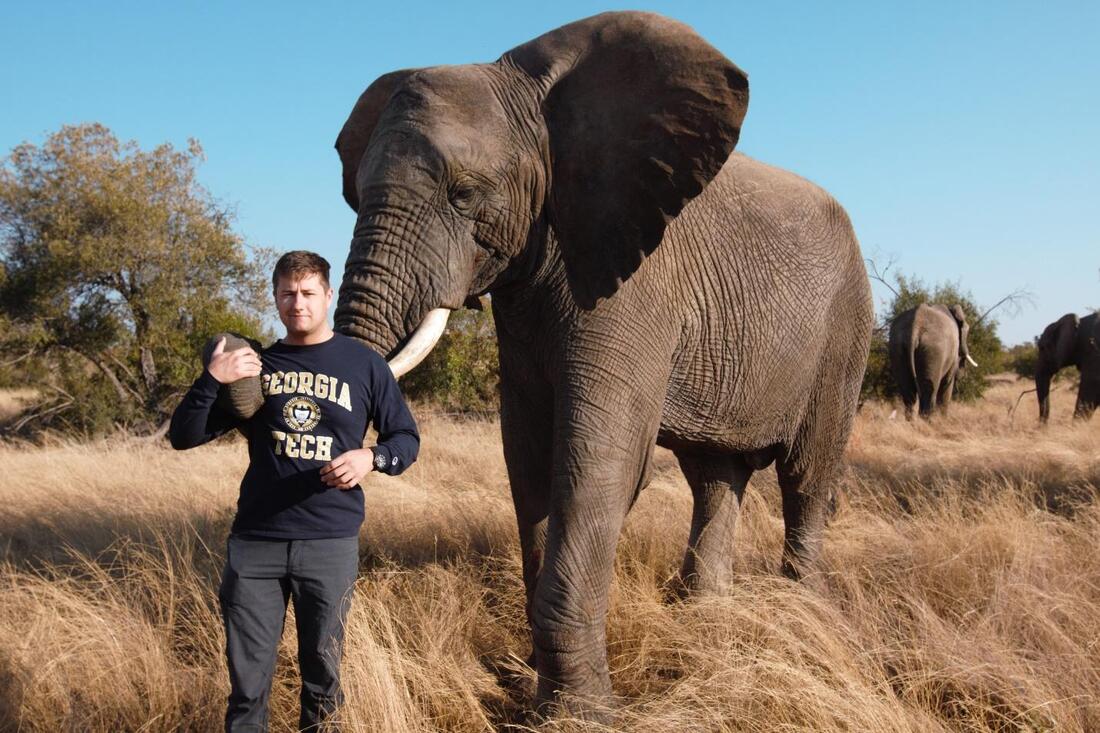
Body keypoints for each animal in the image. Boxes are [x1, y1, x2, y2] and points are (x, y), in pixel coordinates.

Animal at [220, 11, 874, 717]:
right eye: (355, 195)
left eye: (464, 196)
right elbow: (528, 453)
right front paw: (537, 681)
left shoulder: (633, 280)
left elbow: (599, 461)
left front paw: (579, 714)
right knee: (714, 477)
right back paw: (707, 625)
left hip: (845, 329)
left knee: (807, 477)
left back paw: (802, 624)